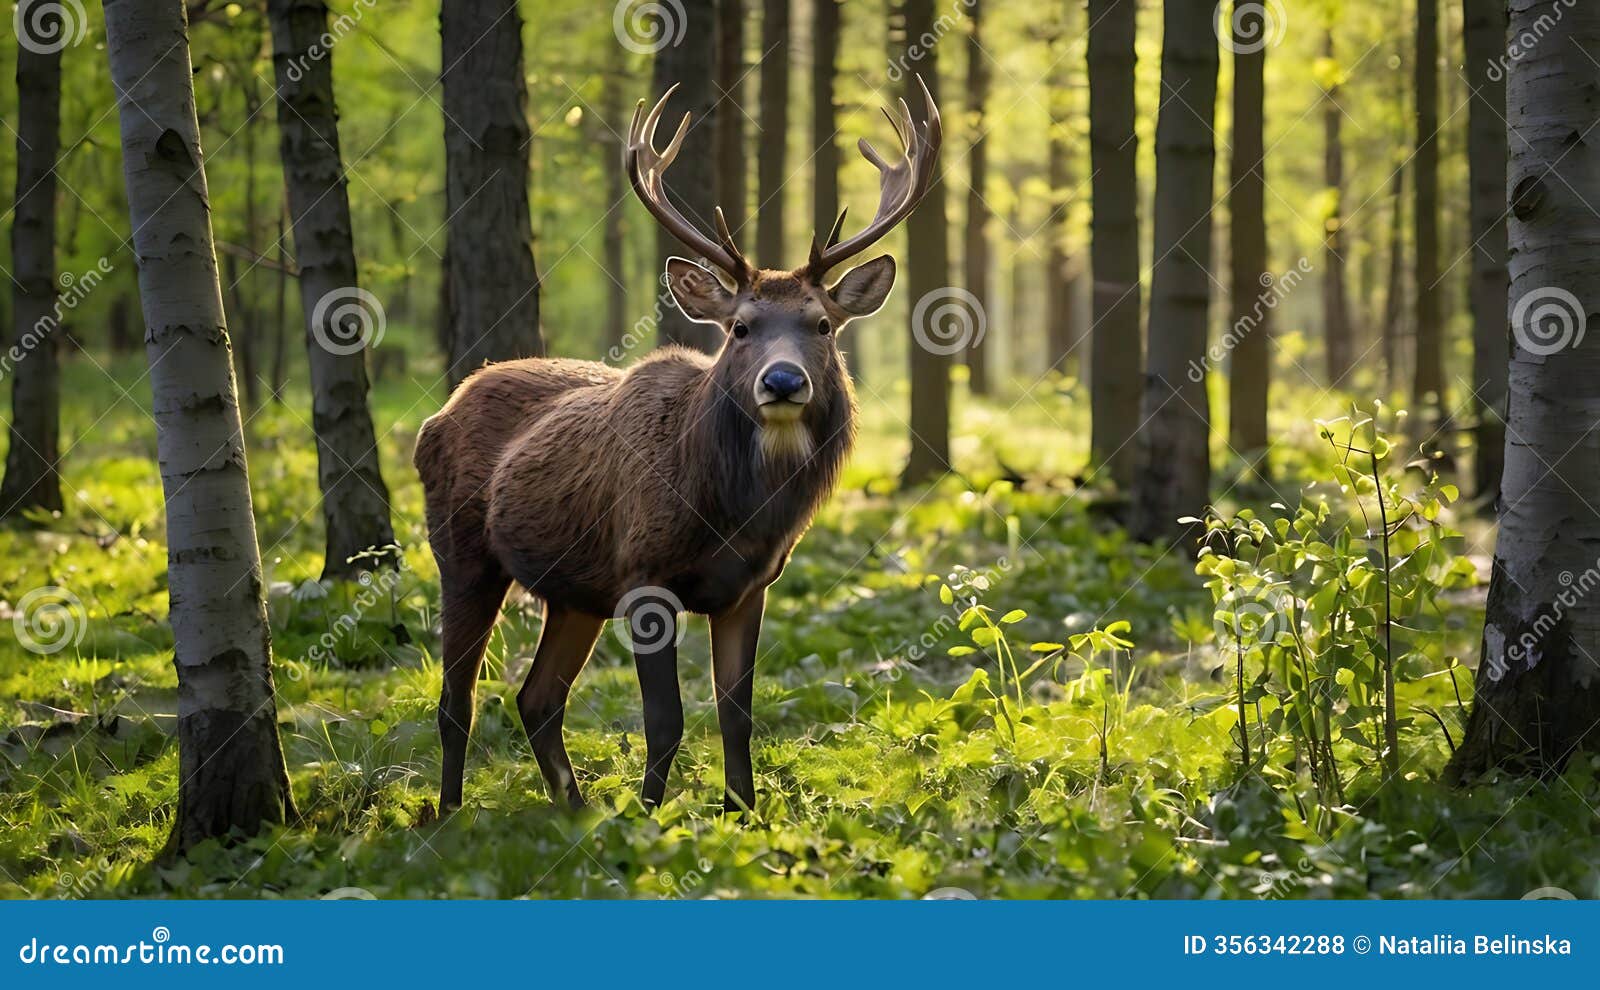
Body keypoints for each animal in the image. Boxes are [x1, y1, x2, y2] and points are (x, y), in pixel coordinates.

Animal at [414, 79, 940, 815]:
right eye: (740, 327)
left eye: (822, 324)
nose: (784, 381)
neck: (735, 514)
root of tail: (436, 416)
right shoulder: (644, 575)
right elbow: (665, 718)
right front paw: (648, 816)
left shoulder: (750, 587)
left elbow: (736, 714)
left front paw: (742, 812)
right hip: (462, 554)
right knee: (455, 699)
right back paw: (451, 813)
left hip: (574, 593)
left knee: (537, 697)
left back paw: (574, 809)